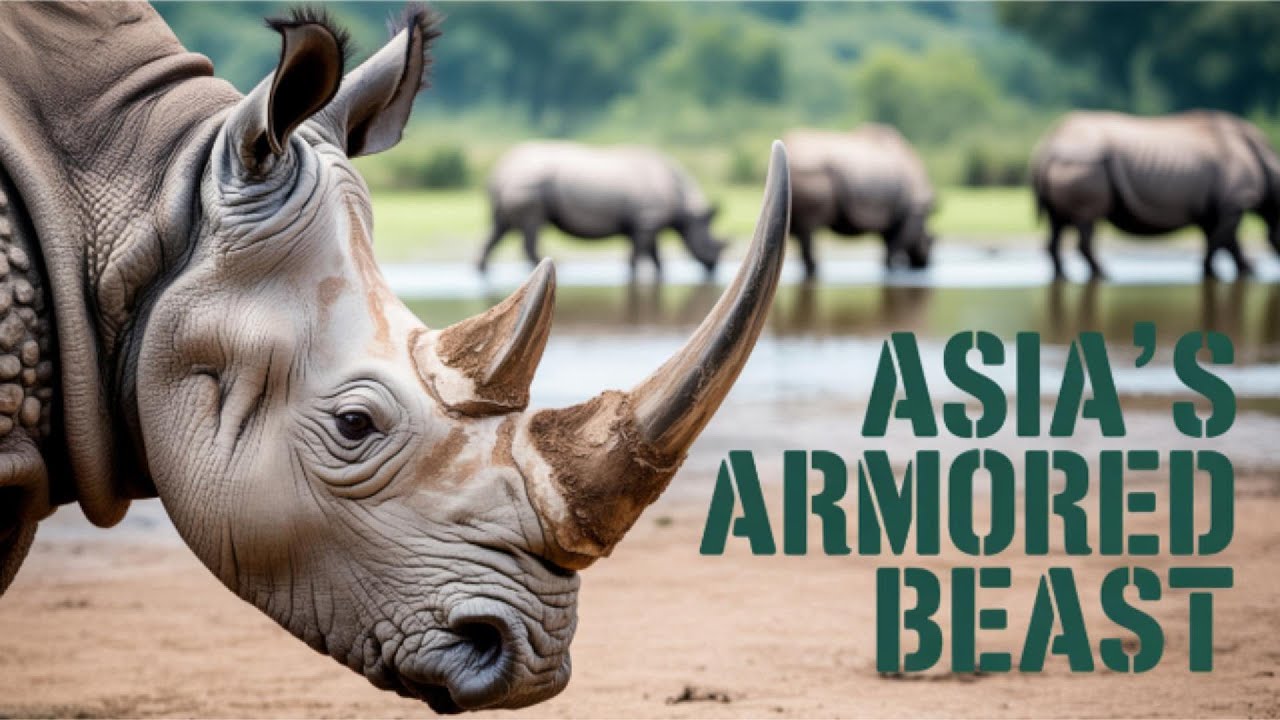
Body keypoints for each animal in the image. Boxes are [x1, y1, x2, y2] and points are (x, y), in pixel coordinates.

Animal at [477, 142, 726, 276]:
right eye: (710, 243)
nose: (713, 266)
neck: (687, 208)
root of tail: (500, 169)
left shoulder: (647, 221)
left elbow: (654, 255)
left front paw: (659, 273)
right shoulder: (647, 220)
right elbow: (639, 253)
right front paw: (633, 272)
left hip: (516, 182)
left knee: (498, 228)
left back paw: (482, 270)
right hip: (529, 182)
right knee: (532, 226)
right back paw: (560, 268)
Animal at [785, 126, 936, 279]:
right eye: (930, 242)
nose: (924, 264)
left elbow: (890, 243)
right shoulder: (914, 211)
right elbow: (894, 245)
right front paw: (892, 267)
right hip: (811, 171)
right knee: (808, 229)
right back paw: (814, 269)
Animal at [1031, 110, 1280, 280]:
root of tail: (1047, 145)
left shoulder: (1214, 209)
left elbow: (1221, 239)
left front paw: (1243, 271)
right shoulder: (1236, 200)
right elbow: (1224, 238)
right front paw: (1217, 271)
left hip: (1073, 161)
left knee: (1057, 222)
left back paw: (1063, 276)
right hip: (1083, 162)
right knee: (1085, 220)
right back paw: (1104, 273)